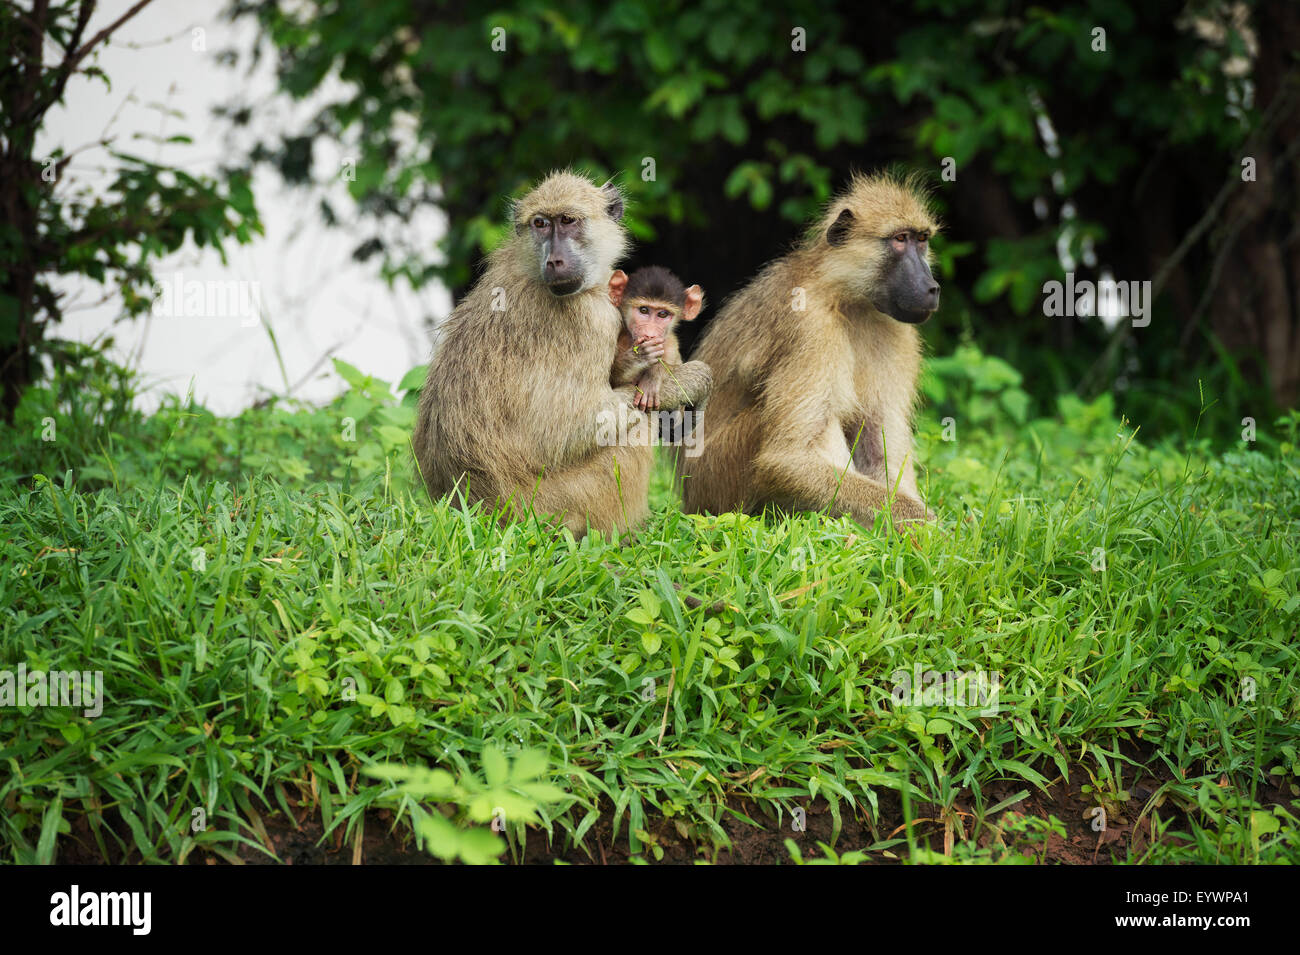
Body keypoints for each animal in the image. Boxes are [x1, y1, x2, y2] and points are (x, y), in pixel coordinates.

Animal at [412, 170, 652, 539]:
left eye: (567, 220)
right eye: (540, 223)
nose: (554, 261)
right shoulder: (592, 320)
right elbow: (564, 430)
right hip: (553, 507)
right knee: (634, 433)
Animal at [607, 266, 713, 411]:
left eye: (662, 314)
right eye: (644, 310)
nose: (650, 334)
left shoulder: (671, 346)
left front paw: (653, 375)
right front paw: (639, 357)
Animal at [677, 171, 942, 528]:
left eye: (922, 239)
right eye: (900, 239)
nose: (931, 288)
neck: (846, 297)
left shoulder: (899, 333)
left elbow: (877, 436)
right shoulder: (809, 328)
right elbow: (788, 459)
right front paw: (932, 528)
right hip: (715, 483)